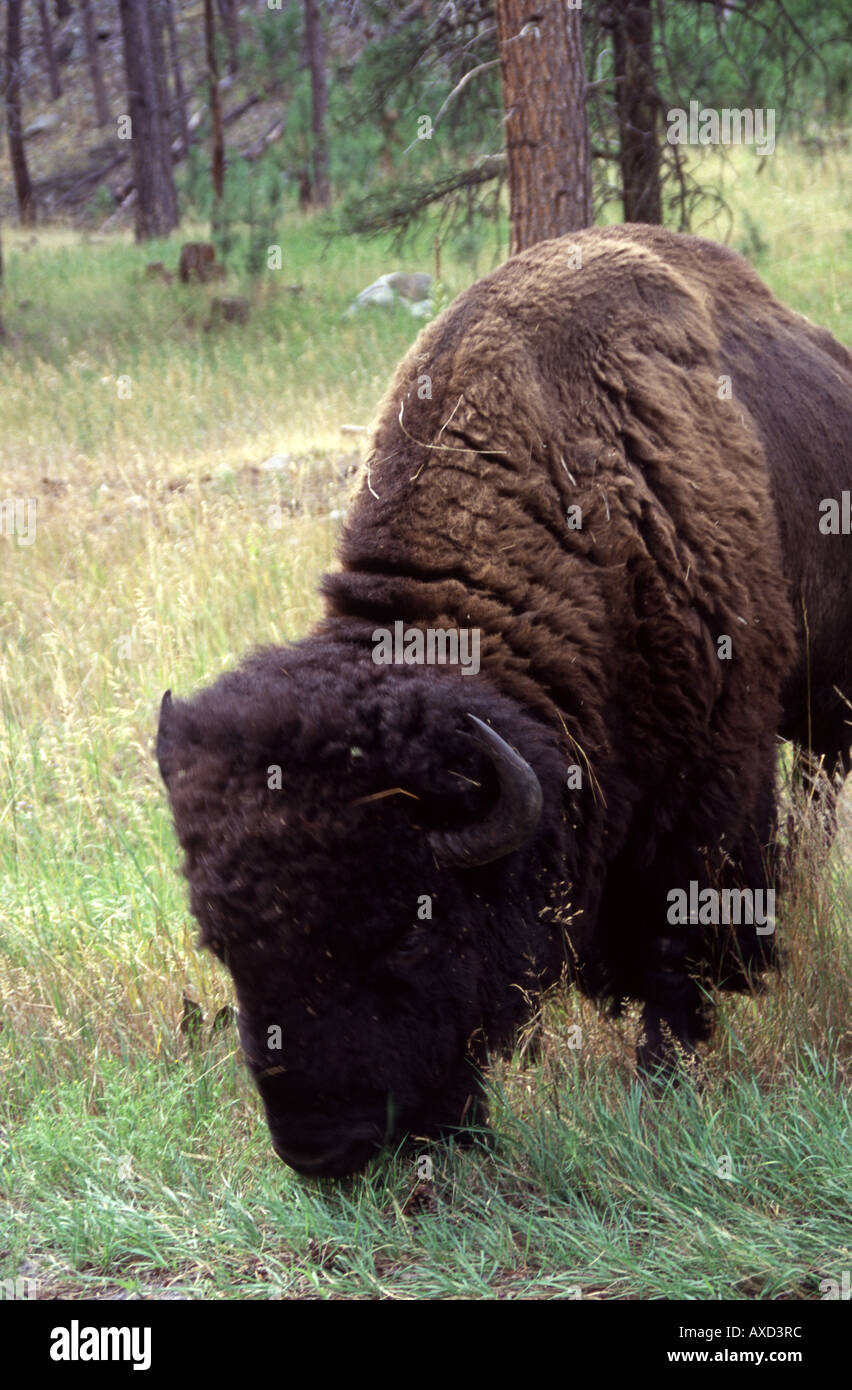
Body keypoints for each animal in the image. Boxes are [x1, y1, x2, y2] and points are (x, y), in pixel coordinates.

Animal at [157, 226, 852, 1176]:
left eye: (412, 929)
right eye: (220, 941)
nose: (325, 1149)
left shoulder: (708, 783)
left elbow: (680, 941)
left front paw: (666, 1078)